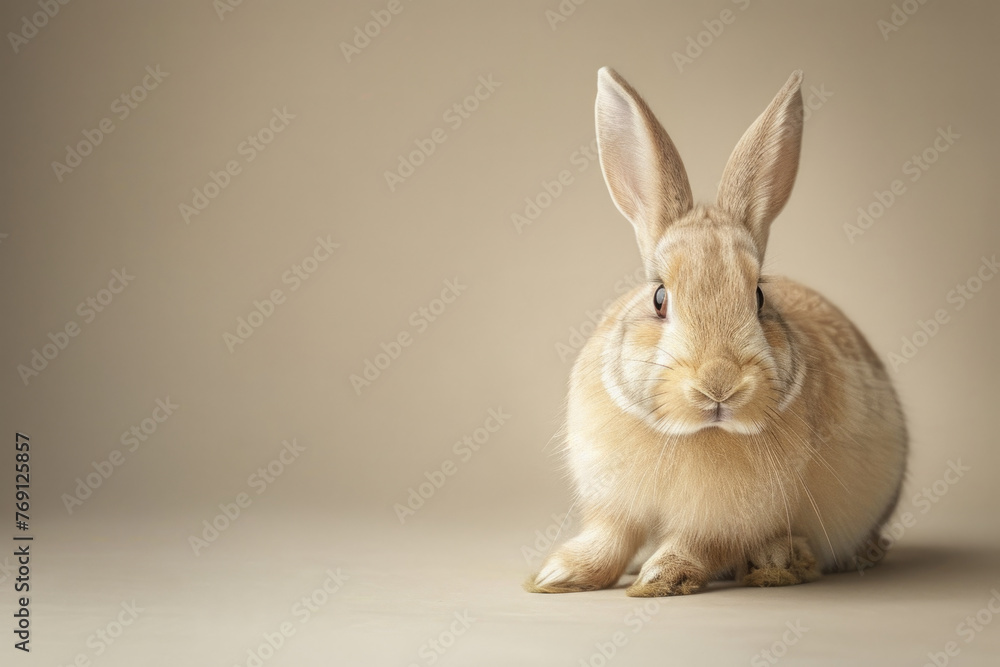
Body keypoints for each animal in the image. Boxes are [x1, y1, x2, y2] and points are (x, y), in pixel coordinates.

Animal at [526, 68, 907, 597]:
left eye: (760, 298)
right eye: (659, 298)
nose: (718, 383)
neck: (689, 434)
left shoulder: (724, 523)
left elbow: (697, 545)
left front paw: (660, 578)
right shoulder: (613, 504)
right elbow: (609, 537)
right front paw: (560, 575)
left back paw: (787, 561)